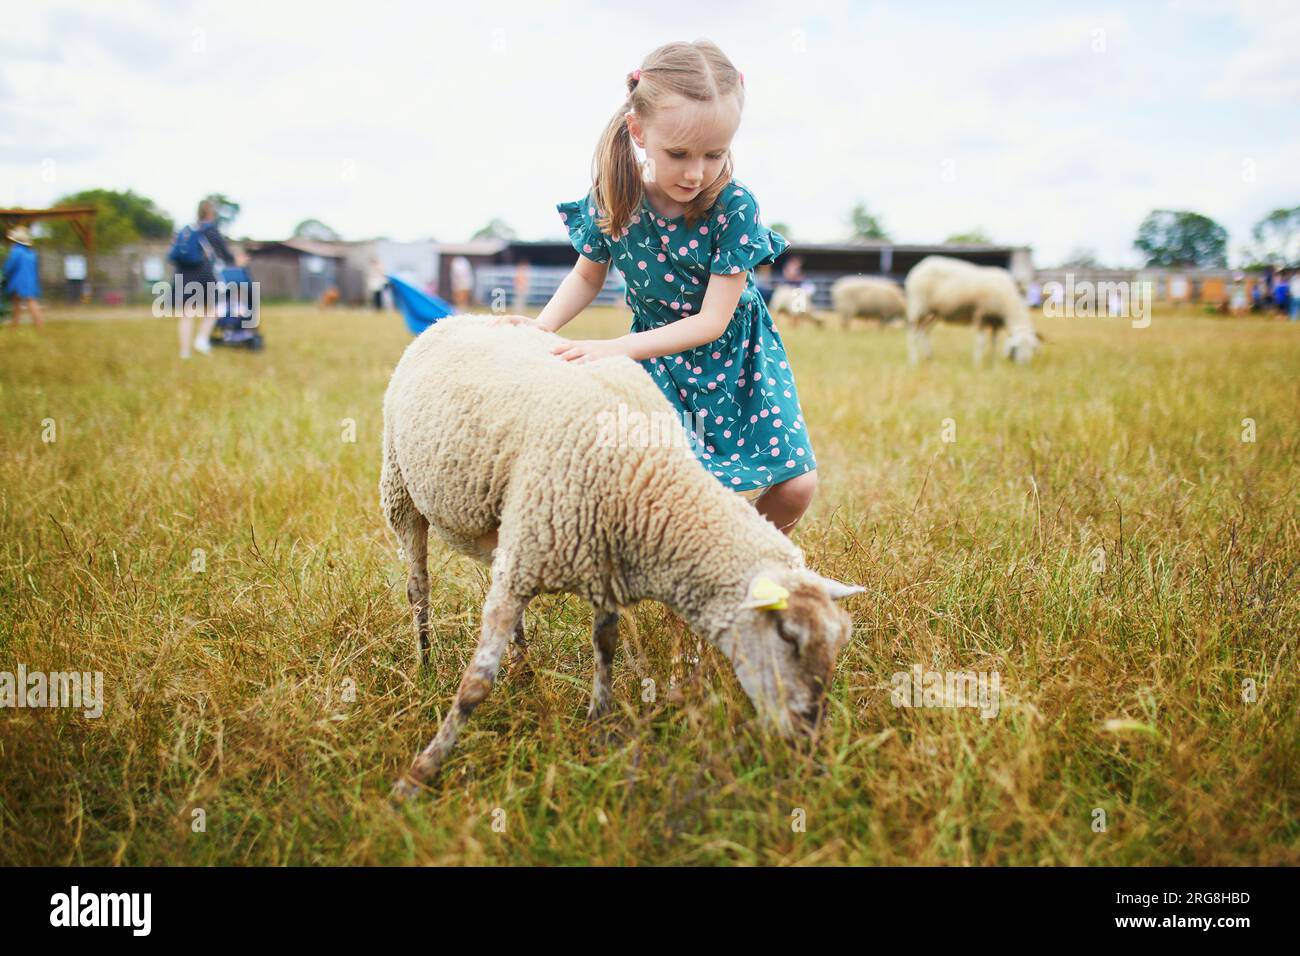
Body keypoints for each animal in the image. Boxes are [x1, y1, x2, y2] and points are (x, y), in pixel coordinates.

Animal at [381, 314, 864, 800]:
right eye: (787, 635)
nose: (808, 738)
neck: (645, 483)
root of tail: (459, 316)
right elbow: (477, 685)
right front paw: (419, 774)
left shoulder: (600, 566)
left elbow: (606, 647)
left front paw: (600, 728)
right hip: (401, 491)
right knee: (419, 589)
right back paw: (426, 664)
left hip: (508, 529)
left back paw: (524, 669)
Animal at [904, 256, 1040, 364]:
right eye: (1016, 347)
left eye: (1033, 348)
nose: (1024, 365)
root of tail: (919, 266)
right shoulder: (980, 314)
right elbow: (981, 341)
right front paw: (977, 363)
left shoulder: (995, 321)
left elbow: (994, 342)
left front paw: (993, 363)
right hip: (918, 307)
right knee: (912, 333)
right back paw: (913, 361)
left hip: (933, 313)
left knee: (923, 331)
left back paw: (929, 357)